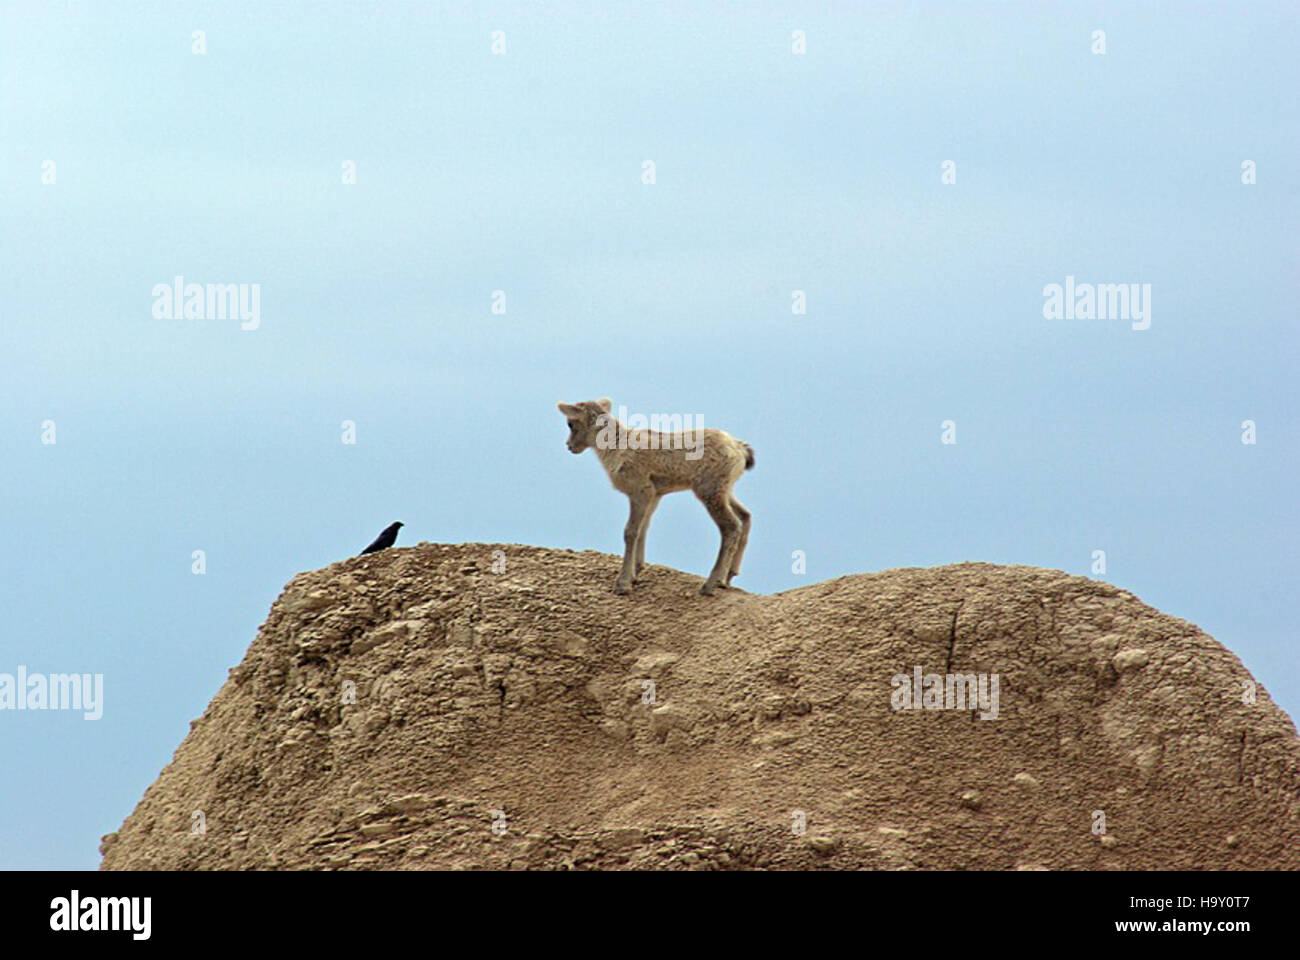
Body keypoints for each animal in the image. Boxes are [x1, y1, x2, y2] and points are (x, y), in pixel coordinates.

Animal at [556, 397, 755, 596]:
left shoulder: (641, 492)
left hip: (709, 491)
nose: (569, 446)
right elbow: (643, 529)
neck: (616, 449)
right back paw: (728, 578)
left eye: (570, 423)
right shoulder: (655, 496)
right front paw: (635, 573)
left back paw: (709, 585)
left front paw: (623, 584)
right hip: (725, 490)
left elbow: (630, 532)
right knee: (745, 515)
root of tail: (740, 450)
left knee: (731, 527)